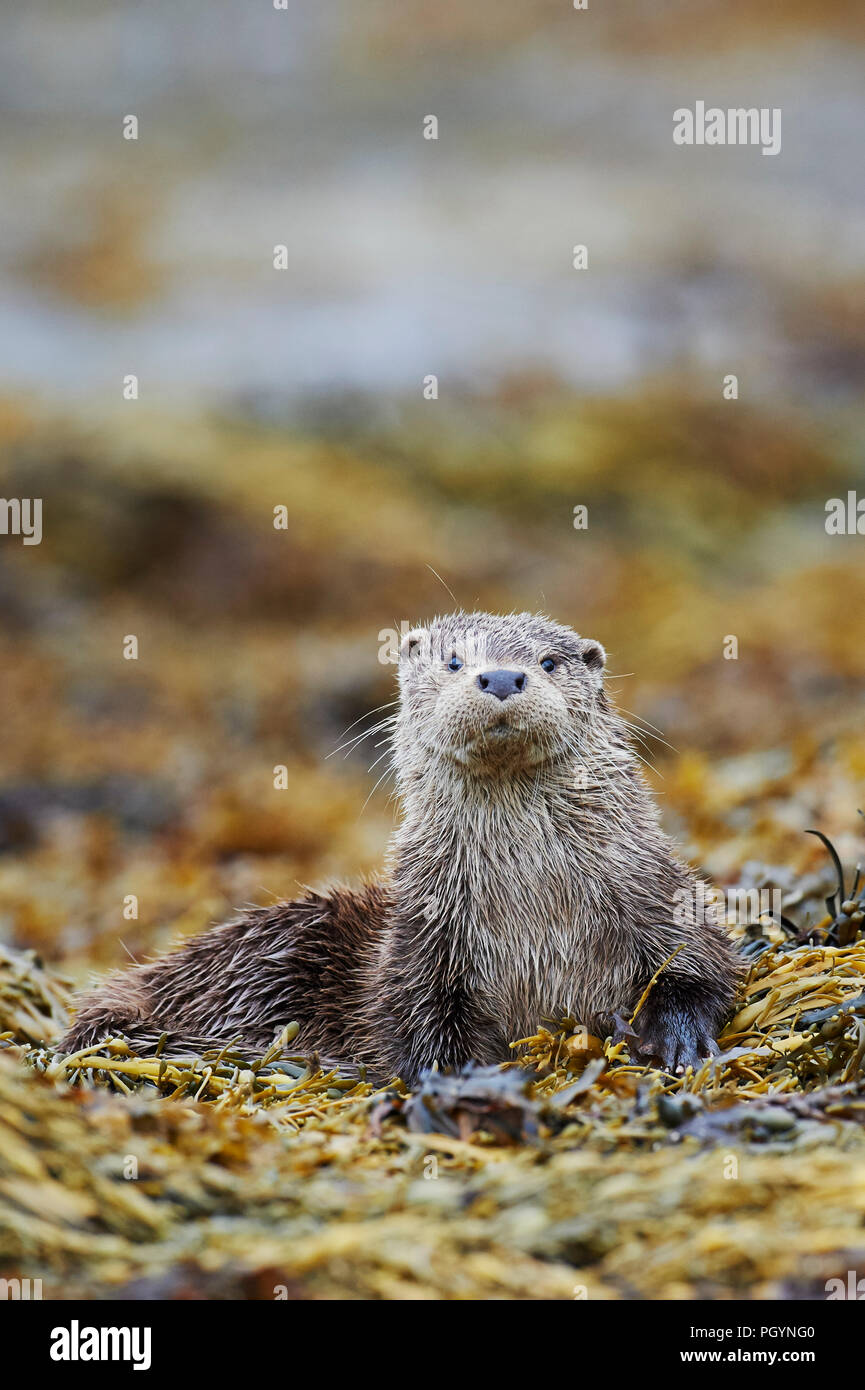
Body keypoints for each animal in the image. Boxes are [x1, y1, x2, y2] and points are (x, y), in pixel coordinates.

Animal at [61, 612, 740, 1082]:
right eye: (453, 660)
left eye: (550, 662)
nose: (500, 676)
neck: (535, 909)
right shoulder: (422, 941)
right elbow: (416, 1028)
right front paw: (462, 1081)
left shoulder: (657, 890)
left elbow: (705, 962)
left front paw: (677, 1037)